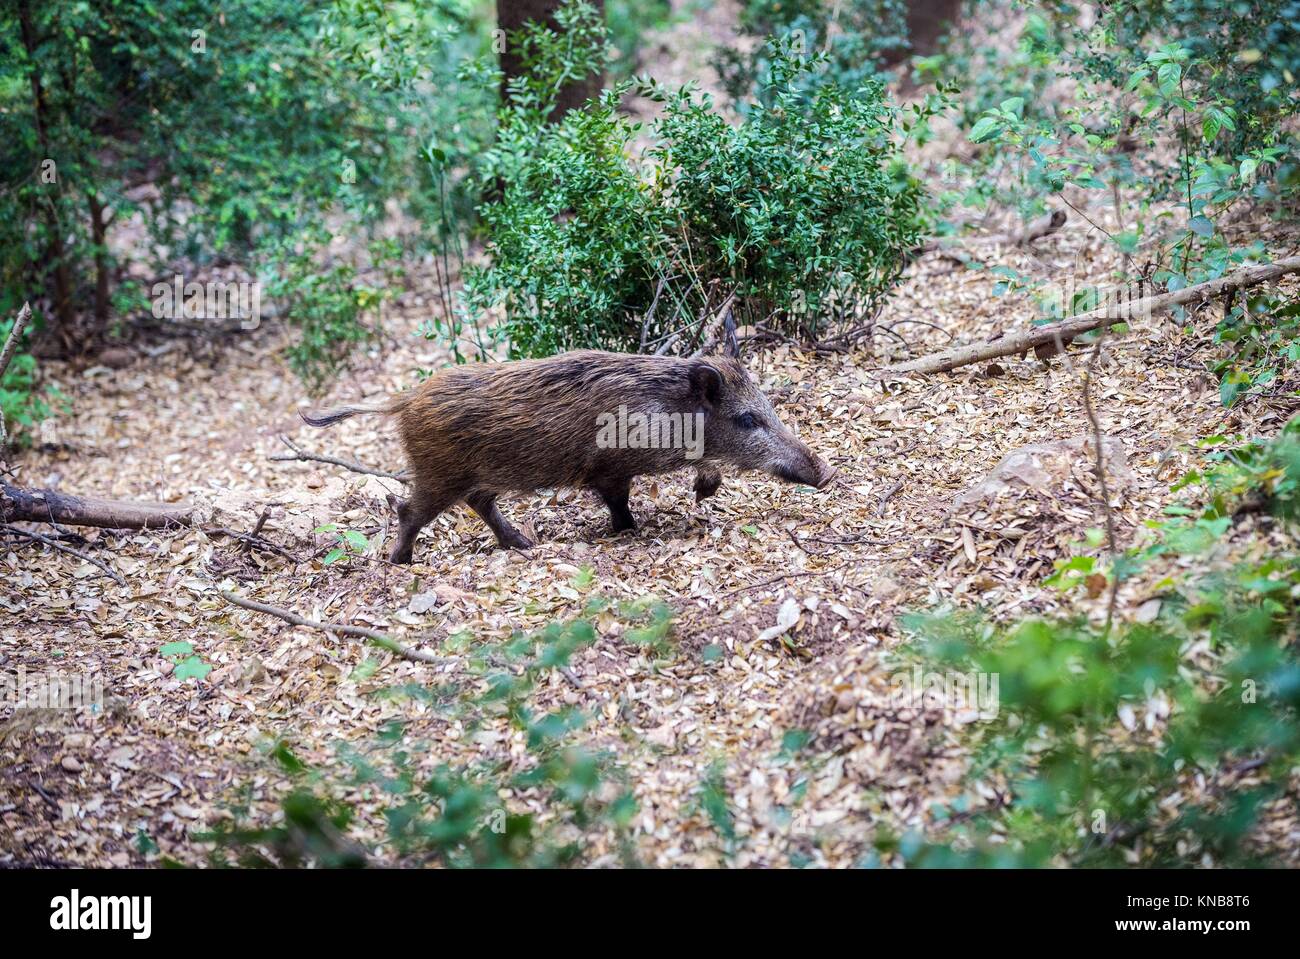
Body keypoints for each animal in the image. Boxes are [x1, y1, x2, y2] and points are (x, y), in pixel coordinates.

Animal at [303, 350, 837, 563]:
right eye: (747, 419)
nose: (827, 471)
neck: (663, 410)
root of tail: (403, 400)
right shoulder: (609, 469)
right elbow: (619, 503)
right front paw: (630, 531)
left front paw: (702, 492)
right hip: (439, 473)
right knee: (408, 509)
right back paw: (401, 561)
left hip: (474, 475)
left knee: (479, 503)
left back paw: (524, 543)